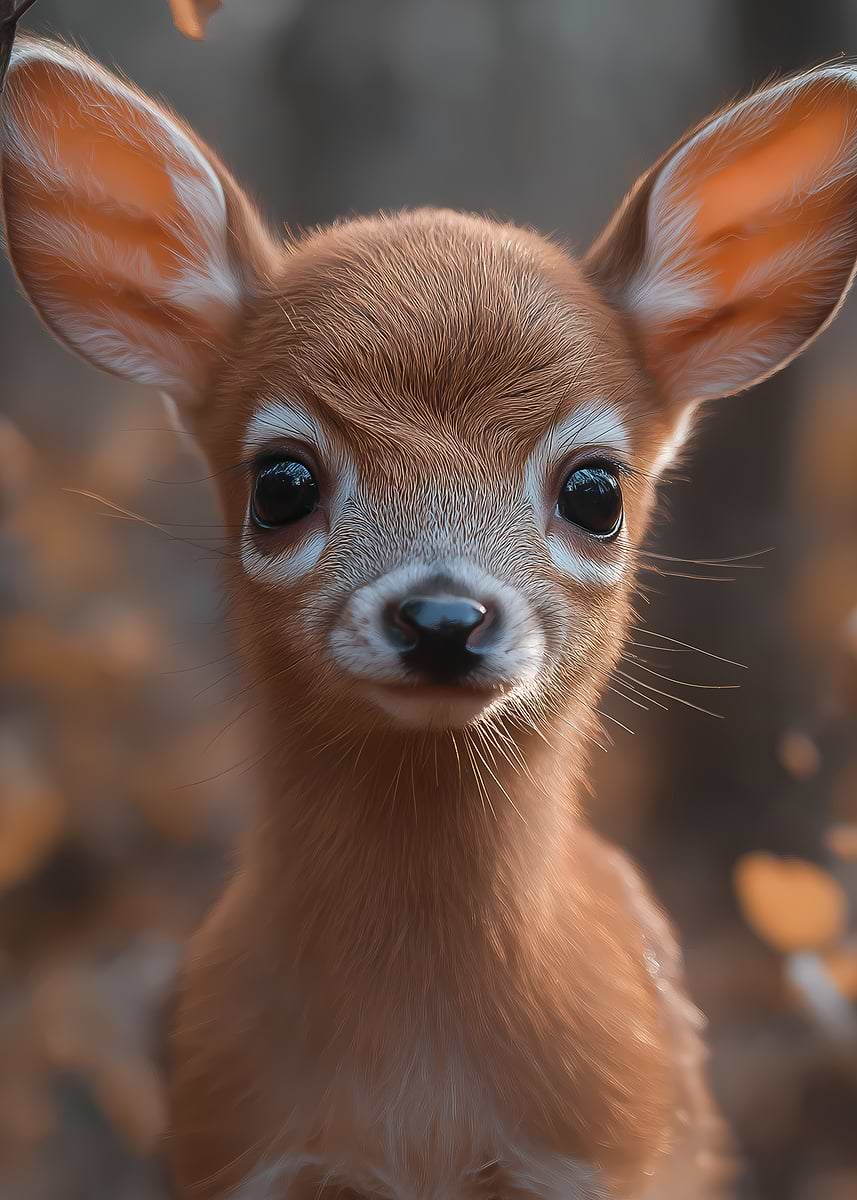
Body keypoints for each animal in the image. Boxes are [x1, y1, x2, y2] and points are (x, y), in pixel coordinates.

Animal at [3, 33, 857, 1200]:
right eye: (281, 482)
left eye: (595, 490)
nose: (443, 616)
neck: (421, 1102)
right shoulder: (235, 1149)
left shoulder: (618, 1154)